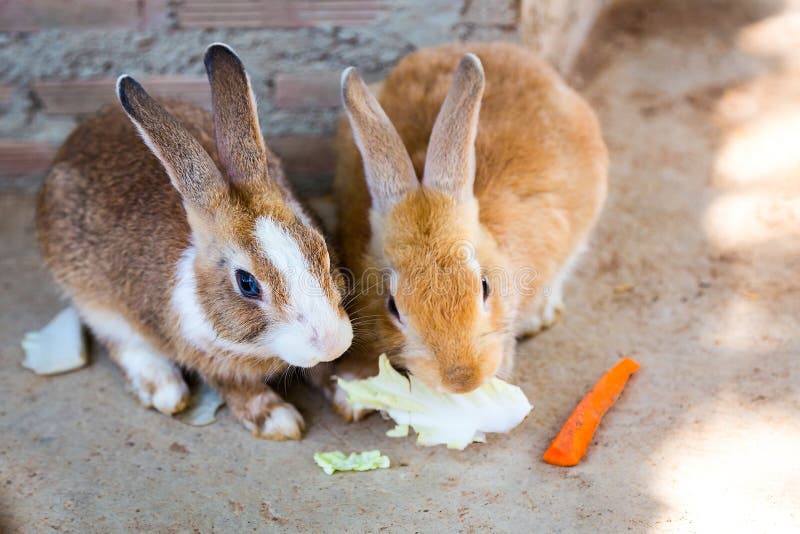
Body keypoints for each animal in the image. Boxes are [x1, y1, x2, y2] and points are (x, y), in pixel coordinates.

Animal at [36, 43, 353, 440]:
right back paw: (163, 388)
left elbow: (325, 371)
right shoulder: (204, 356)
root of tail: (81, 132)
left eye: (320, 248)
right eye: (247, 284)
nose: (330, 342)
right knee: (122, 342)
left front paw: (353, 395)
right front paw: (278, 420)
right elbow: (238, 388)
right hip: (92, 298)